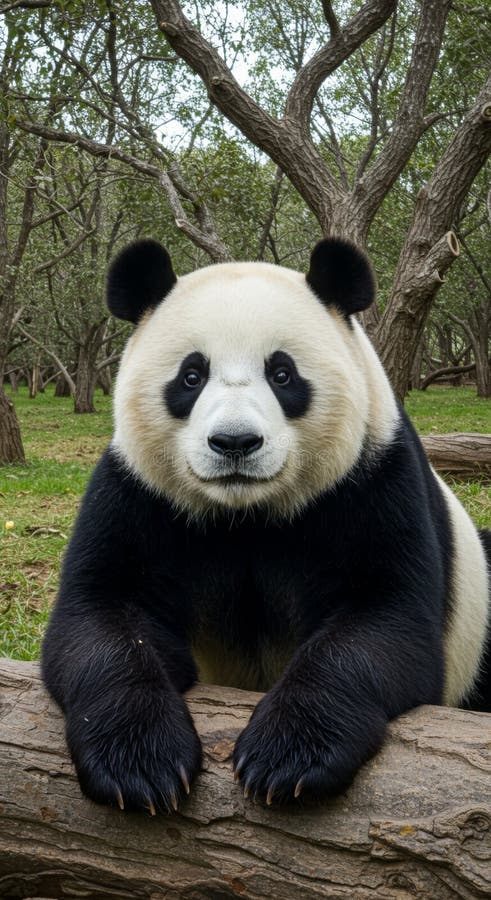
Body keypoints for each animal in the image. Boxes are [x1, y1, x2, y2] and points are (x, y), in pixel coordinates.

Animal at [42, 238, 491, 813]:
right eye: (191, 376)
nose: (235, 443)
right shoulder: (139, 494)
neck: (246, 514)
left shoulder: (372, 481)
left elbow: (386, 623)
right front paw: (139, 763)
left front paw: (287, 757)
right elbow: (98, 618)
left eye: (282, 374)